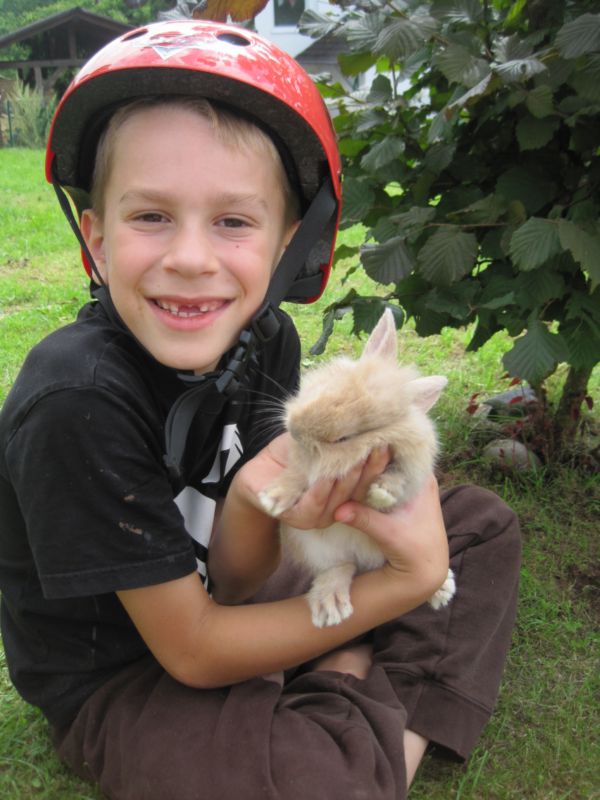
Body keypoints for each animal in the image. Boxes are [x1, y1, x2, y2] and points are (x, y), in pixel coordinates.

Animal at [258, 308, 455, 628]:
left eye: (343, 438)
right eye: (327, 388)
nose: (296, 430)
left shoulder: (412, 461)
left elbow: (399, 478)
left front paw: (382, 494)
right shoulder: (300, 461)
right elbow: (298, 473)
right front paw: (272, 499)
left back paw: (441, 589)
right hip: (315, 546)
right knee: (338, 567)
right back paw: (330, 606)